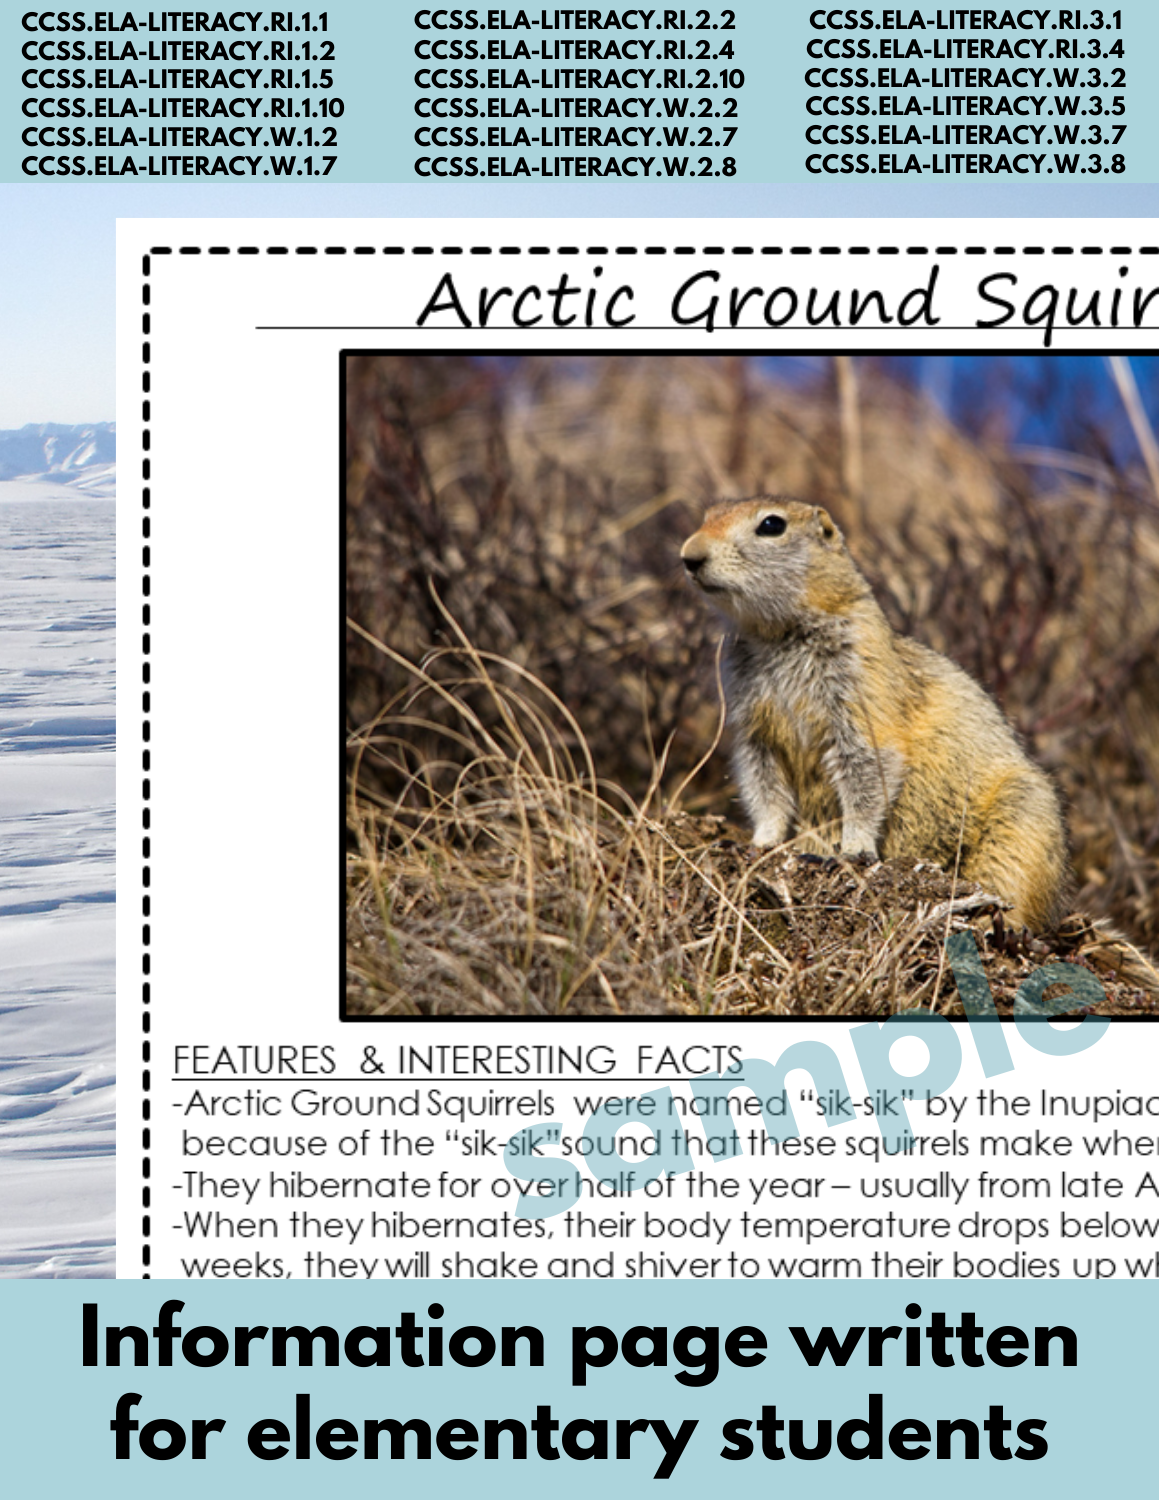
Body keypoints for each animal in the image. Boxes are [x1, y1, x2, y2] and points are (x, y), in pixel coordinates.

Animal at [681, 496, 1068, 932]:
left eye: (771, 525)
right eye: (708, 514)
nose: (689, 556)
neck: (776, 635)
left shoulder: (859, 691)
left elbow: (867, 766)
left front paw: (851, 849)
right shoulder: (752, 727)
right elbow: (762, 783)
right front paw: (759, 842)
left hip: (1021, 820)